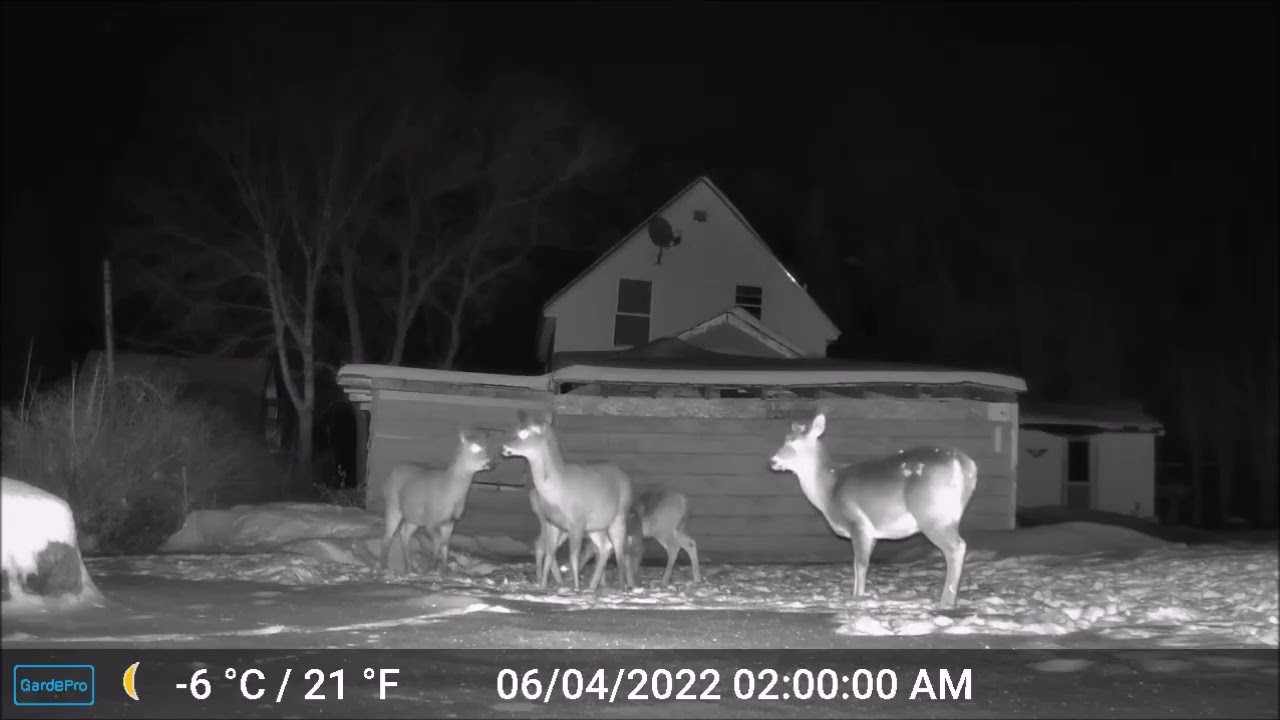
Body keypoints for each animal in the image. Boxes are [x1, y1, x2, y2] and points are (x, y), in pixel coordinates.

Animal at [379, 429, 495, 576]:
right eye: (474, 447)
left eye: (486, 447)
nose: (491, 463)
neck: (450, 493)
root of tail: (392, 472)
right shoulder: (431, 519)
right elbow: (438, 542)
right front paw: (431, 568)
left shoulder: (450, 522)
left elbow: (445, 545)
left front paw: (444, 571)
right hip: (393, 504)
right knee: (388, 535)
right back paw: (384, 567)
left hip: (414, 517)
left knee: (404, 533)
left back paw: (409, 569)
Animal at [501, 410, 635, 592]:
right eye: (515, 428)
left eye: (523, 433)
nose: (503, 447)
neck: (558, 489)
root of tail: (625, 476)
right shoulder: (553, 523)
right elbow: (550, 553)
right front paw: (543, 586)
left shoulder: (577, 520)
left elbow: (573, 555)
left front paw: (575, 587)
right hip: (596, 526)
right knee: (605, 547)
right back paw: (592, 587)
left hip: (619, 515)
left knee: (619, 549)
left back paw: (621, 586)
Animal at [769, 411, 977, 608]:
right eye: (785, 439)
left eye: (794, 443)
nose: (772, 461)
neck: (830, 488)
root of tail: (965, 464)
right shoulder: (873, 534)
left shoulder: (858, 523)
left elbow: (860, 564)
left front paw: (857, 597)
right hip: (949, 515)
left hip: (932, 514)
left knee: (956, 547)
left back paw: (946, 601)